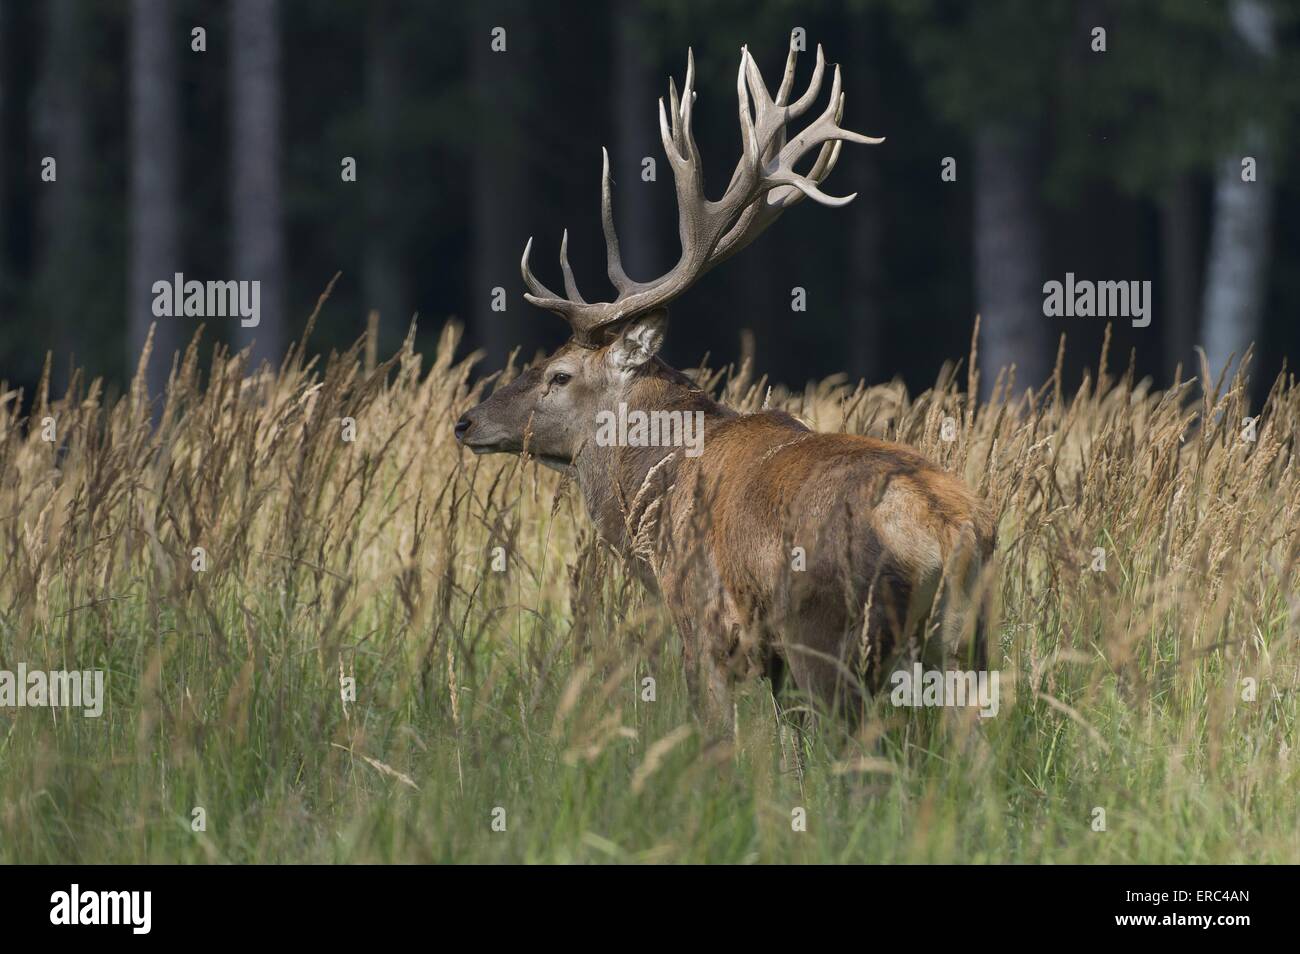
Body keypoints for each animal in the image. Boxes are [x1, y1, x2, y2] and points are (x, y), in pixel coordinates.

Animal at [455, 38, 996, 726]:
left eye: (559, 374)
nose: (466, 420)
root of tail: (951, 533)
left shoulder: (703, 622)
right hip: (965, 643)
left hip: (831, 636)